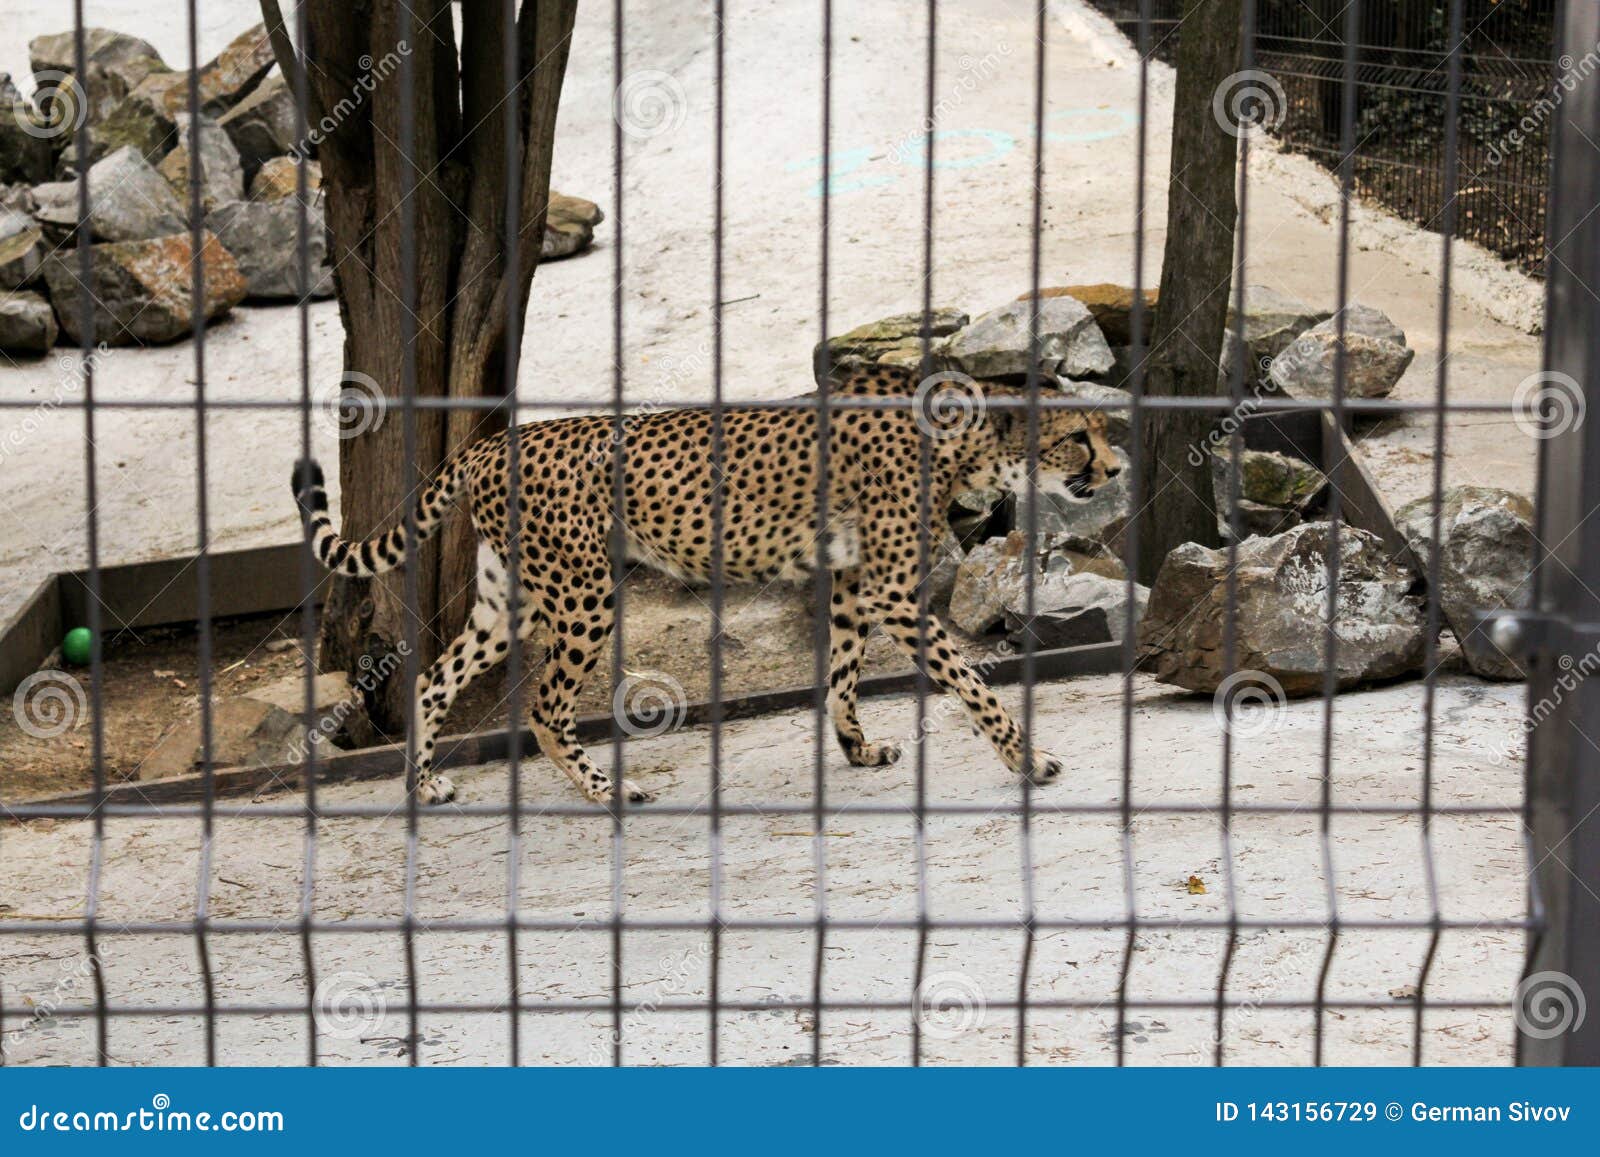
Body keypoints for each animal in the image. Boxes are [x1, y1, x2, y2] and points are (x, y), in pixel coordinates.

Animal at [291, 363, 1122, 806]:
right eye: (1079, 437)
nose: (1116, 468)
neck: (968, 441)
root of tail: (493, 441)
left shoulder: (853, 580)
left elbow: (841, 673)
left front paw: (854, 747)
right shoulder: (890, 587)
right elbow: (970, 680)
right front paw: (1028, 758)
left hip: (511, 601)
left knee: (431, 679)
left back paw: (424, 784)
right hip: (585, 593)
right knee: (544, 706)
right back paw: (606, 789)